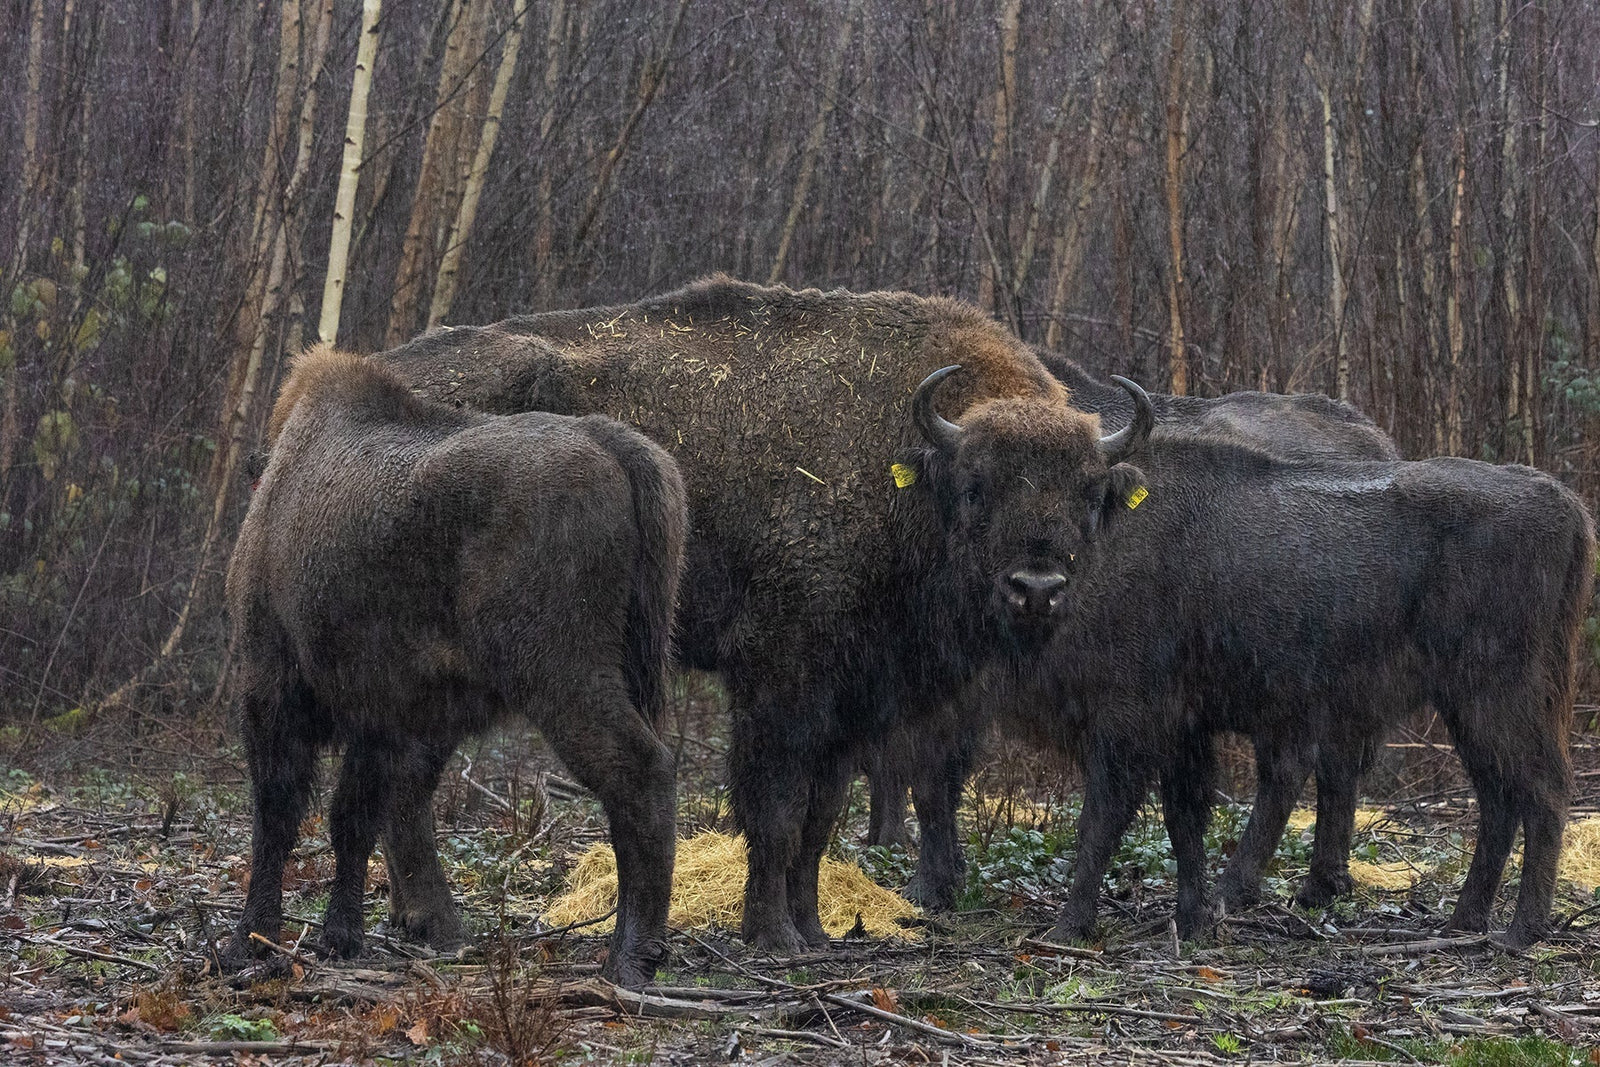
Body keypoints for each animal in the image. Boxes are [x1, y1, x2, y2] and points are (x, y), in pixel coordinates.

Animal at [225, 345, 687, 987]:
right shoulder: (381, 718)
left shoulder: (271, 690)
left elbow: (278, 815)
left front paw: (247, 941)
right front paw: (340, 939)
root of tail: (610, 443)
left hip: (561, 678)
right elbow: (351, 819)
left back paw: (629, 955)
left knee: (641, 770)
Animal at [380, 275, 1143, 952]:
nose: (1036, 588)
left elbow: (819, 816)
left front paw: (814, 933)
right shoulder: (780, 676)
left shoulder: (852, 697)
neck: (907, 469)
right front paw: (772, 936)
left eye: (1088, 490)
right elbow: (773, 809)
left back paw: (417, 923)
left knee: (407, 773)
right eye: (978, 484)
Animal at [912, 368, 1594, 946]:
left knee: (1542, 791)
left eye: (1086, 490)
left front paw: (1069, 926)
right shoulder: (1184, 728)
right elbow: (1183, 819)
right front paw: (1193, 919)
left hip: (1501, 695)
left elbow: (1103, 819)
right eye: (974, 487)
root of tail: (1565, 504)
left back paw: (1520, 932)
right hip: (1466, 703)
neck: (1113, 535)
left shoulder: (1128, 722)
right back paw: (1463, 920)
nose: (1036, 587)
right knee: (1499, 796)